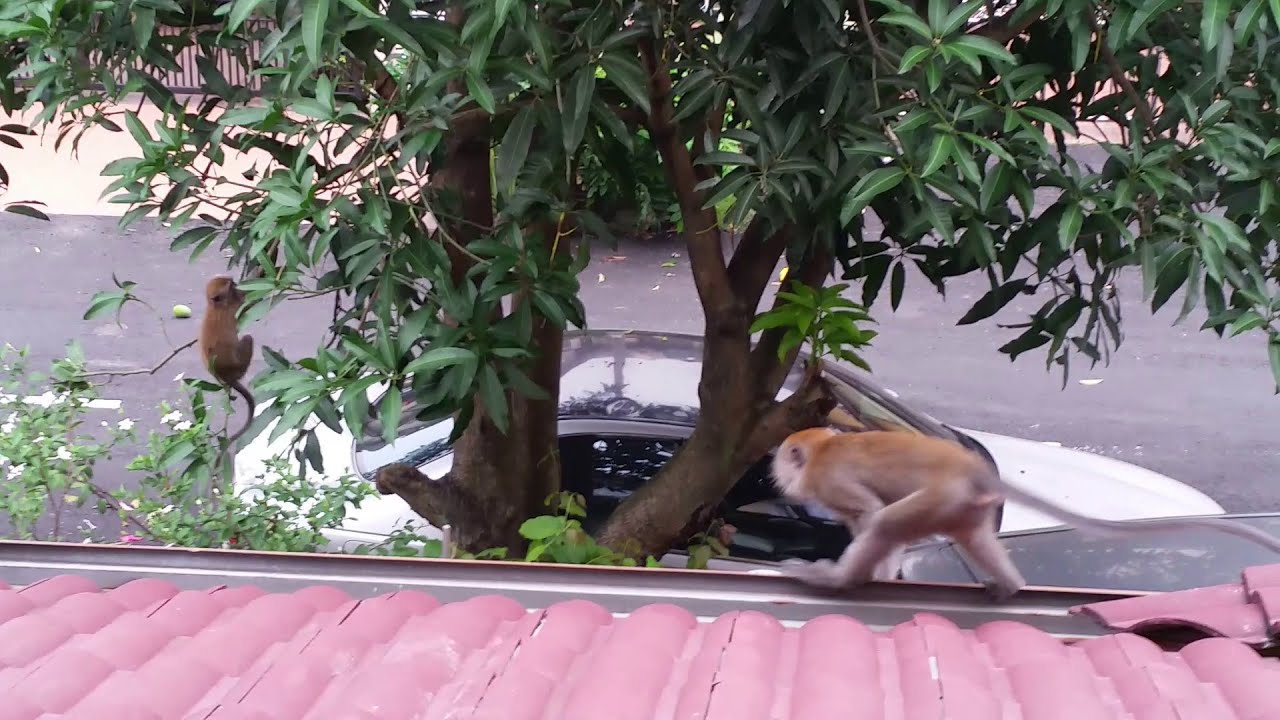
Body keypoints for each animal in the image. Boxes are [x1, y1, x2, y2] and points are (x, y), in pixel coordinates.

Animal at [199, 276, 256, 474]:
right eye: (230, 286)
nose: (237, 285)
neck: (215, 307)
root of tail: (226, 377)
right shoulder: (233, 309)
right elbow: (248, 304)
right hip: (240, 364)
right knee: (247, 338)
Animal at [771, 427, 1280, 601]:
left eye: (782, 459)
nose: (774, 473)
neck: (821, 451)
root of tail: (976, 472)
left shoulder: (827, 479)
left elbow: (871, 514)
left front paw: (860, 574)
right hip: (962, 506)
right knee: (972, 538)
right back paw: (1009, 586)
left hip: (941, 496)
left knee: (885, 522)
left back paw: (837, 581)